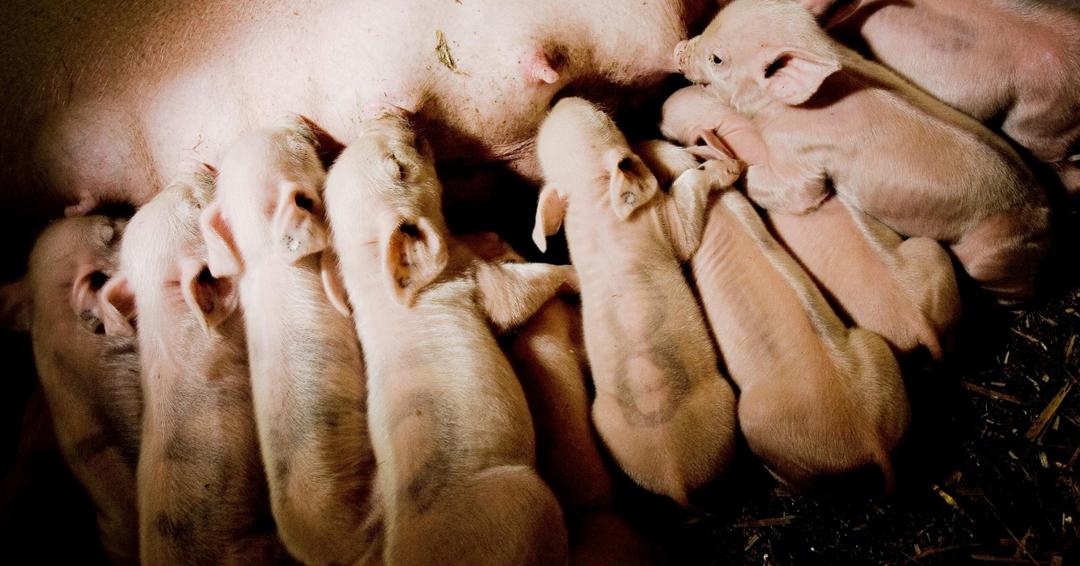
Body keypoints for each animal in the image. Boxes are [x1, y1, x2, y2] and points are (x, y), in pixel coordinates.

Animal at [323, 111, 573, 566]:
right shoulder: (474, 283)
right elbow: (518, 294)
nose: (390, 110)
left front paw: (499, 241)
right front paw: (567, 271)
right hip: (529, 502)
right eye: (398, 168)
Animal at [532, 97, 740, 506]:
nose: (559, 99)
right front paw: (726, 168)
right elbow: (687, 206)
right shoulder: (666, 223)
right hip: (723, 401)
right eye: (604, 117)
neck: (592, 199)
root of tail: (675, 479)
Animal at [675, 0, 1052, 305]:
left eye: (717, 58)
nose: (678, 49)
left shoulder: (800, 159)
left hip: (993, 251)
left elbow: (786, 189)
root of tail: (1045, 215)